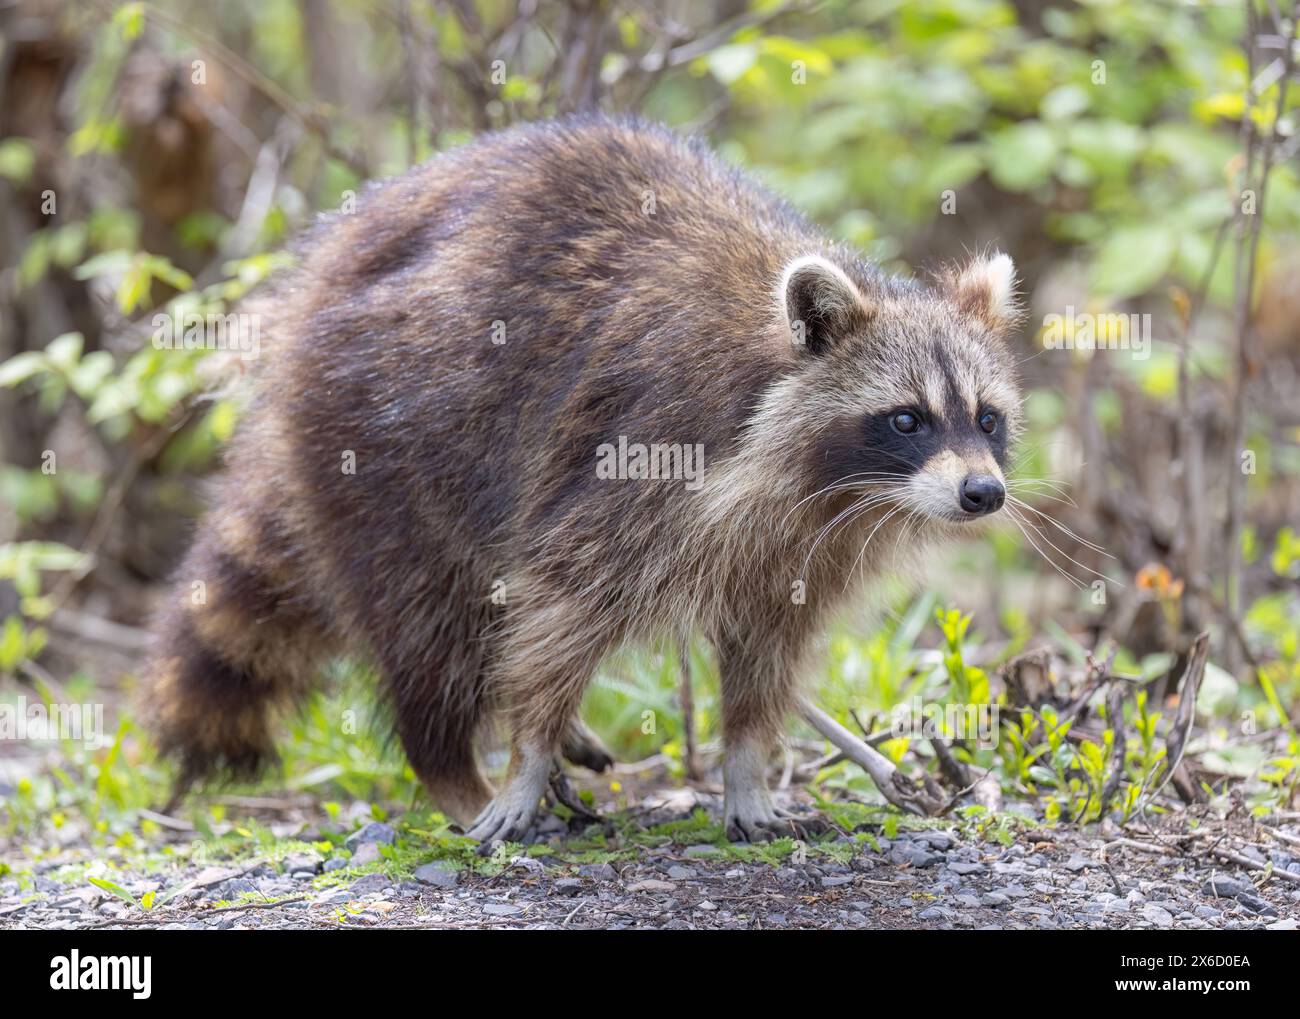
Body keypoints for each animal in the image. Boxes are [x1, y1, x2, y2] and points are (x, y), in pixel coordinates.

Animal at [144, 114, 1023, 843]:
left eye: (986, 418)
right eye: (907, 419)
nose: (983, 494)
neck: (835, 485)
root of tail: (306, 293)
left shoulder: (805, 540)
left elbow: (766, 643)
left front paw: (744, 764)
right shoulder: (644, 457)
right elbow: (564, 602)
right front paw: (527, 755)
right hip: (376, 437)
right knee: (431, 618)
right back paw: (451, 768)